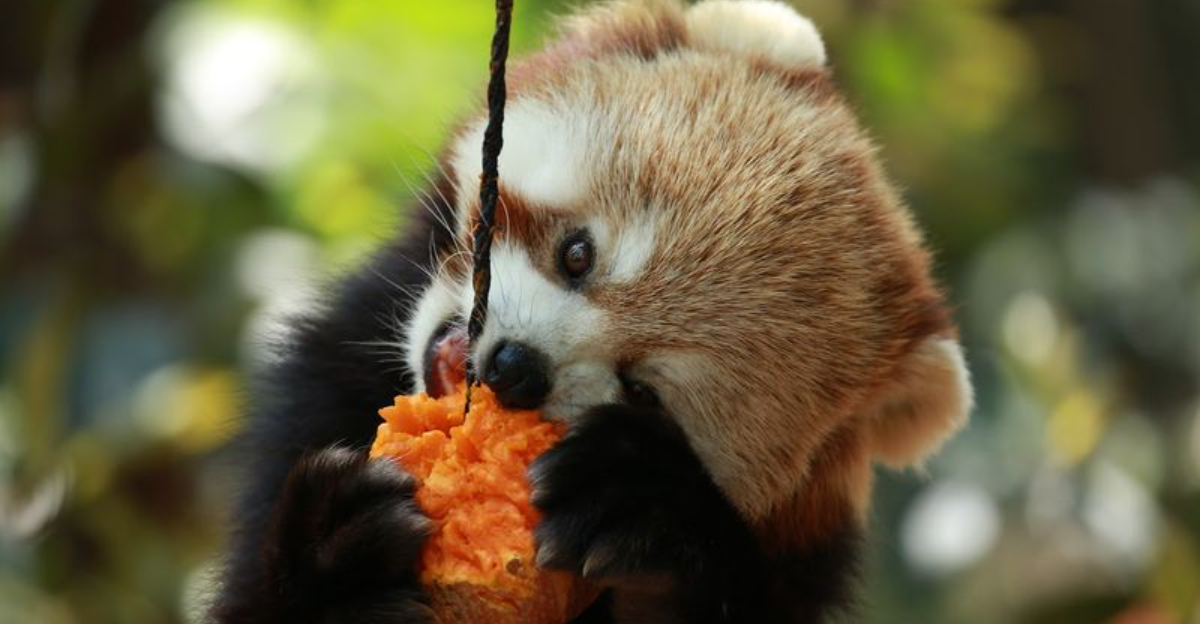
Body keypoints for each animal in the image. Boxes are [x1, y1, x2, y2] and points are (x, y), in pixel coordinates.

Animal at [209, 1, 973, 622]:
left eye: (644, 391)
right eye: (578, 255)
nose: (516, 366)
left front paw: (645, 506)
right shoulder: (319, 381)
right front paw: (333, 555)